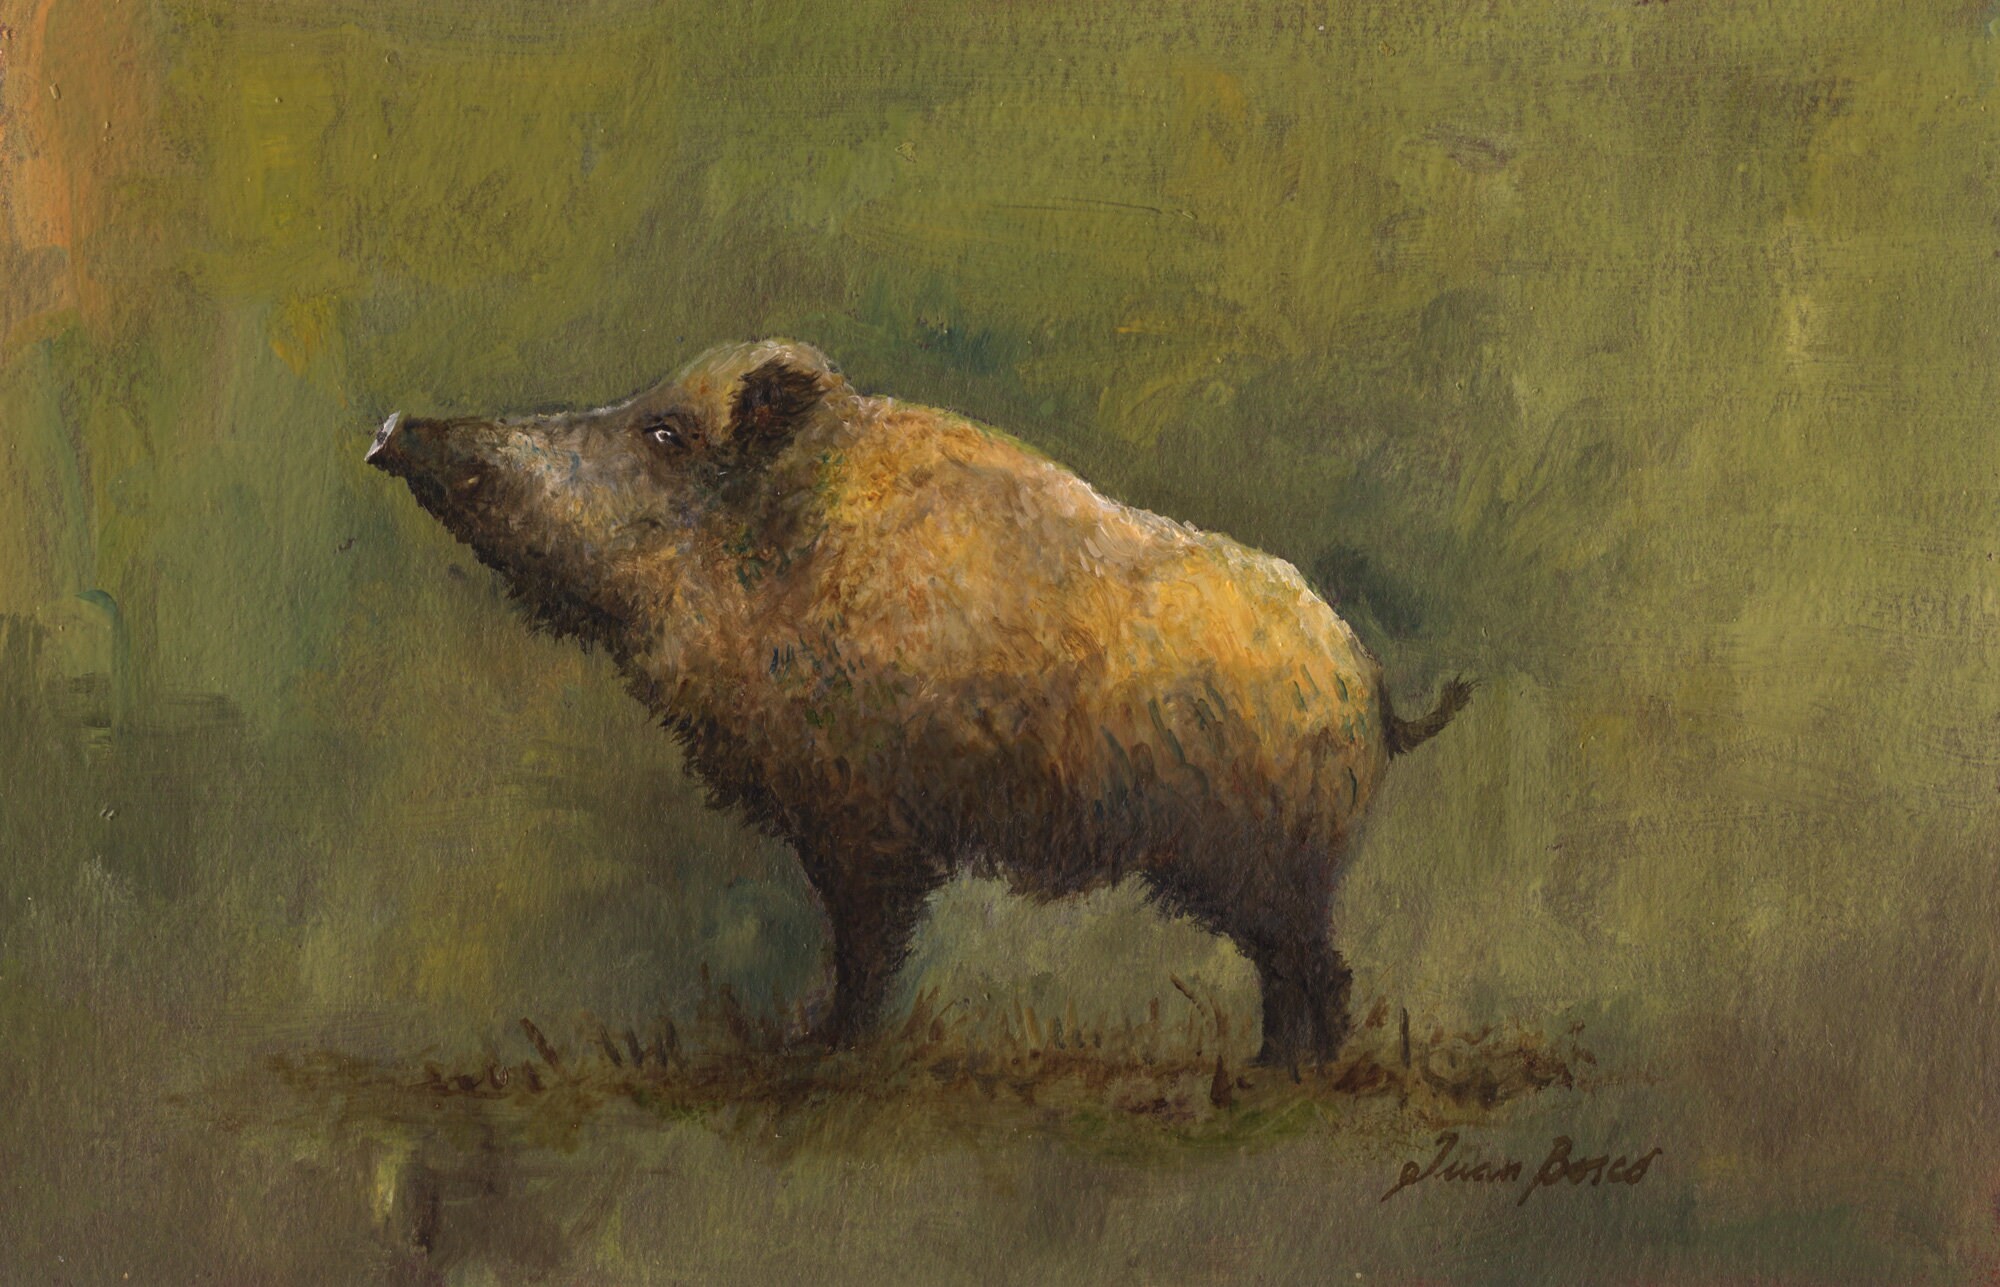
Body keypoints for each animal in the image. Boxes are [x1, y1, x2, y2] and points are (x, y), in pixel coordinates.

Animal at [366, 339, 1471, 1065]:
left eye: (666, 432)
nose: (389, 425)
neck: (789, 565)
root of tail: (1373, 688)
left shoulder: (863, 818)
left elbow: (866, 945)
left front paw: (815, 1049)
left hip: (1274, 860)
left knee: (1314, 971)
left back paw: (1282, 1078)